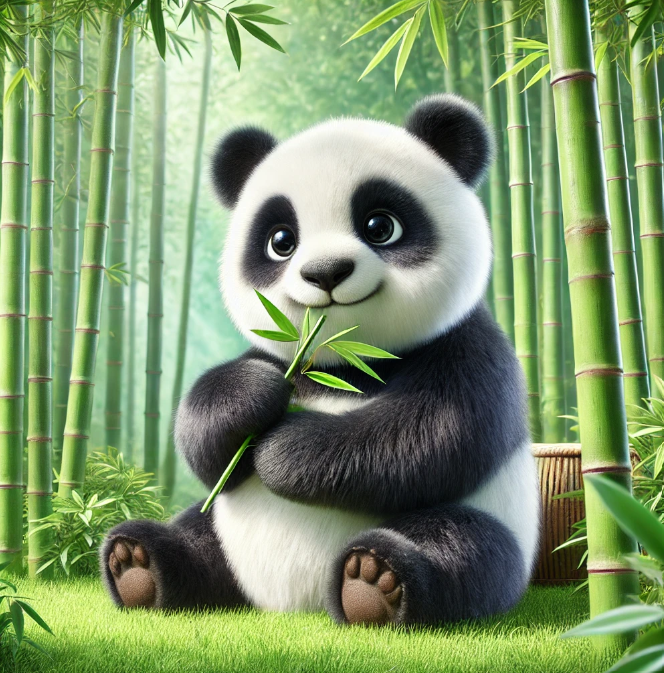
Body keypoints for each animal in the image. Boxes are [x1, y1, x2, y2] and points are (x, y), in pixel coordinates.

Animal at [101, 94, 541, 626]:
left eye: (380, 226)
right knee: (197, 535)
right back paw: (137, 564)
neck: (349, 362)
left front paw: (282, 450)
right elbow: (204, 439)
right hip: (222, 534)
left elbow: (429, 434)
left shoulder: (468, 347)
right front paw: (251, 397)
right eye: (281, 240)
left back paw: (374, 582)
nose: (326, 272)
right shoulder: (276, 350)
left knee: (463, 546)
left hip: (487, 522)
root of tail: (289, 603)